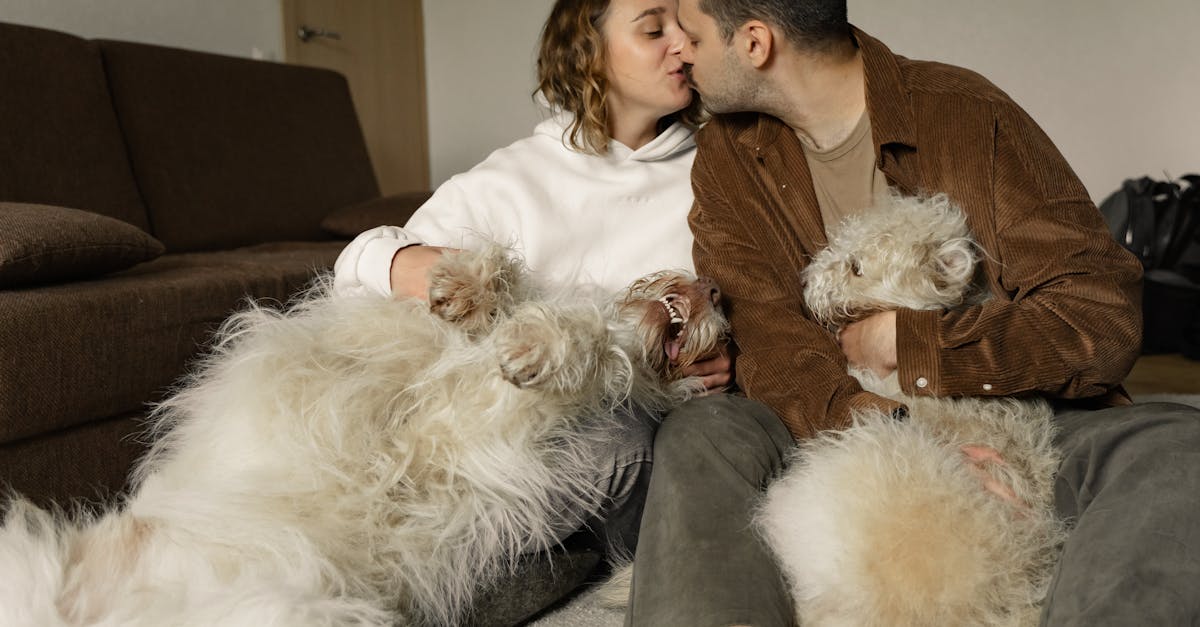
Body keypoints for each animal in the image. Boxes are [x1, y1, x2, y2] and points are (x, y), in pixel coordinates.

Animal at [0, 246, 720, 624]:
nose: (716, 287)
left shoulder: (469, 436)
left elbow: (585, 344)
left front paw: (536, 343)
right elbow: (506, 282)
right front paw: (464, 289)